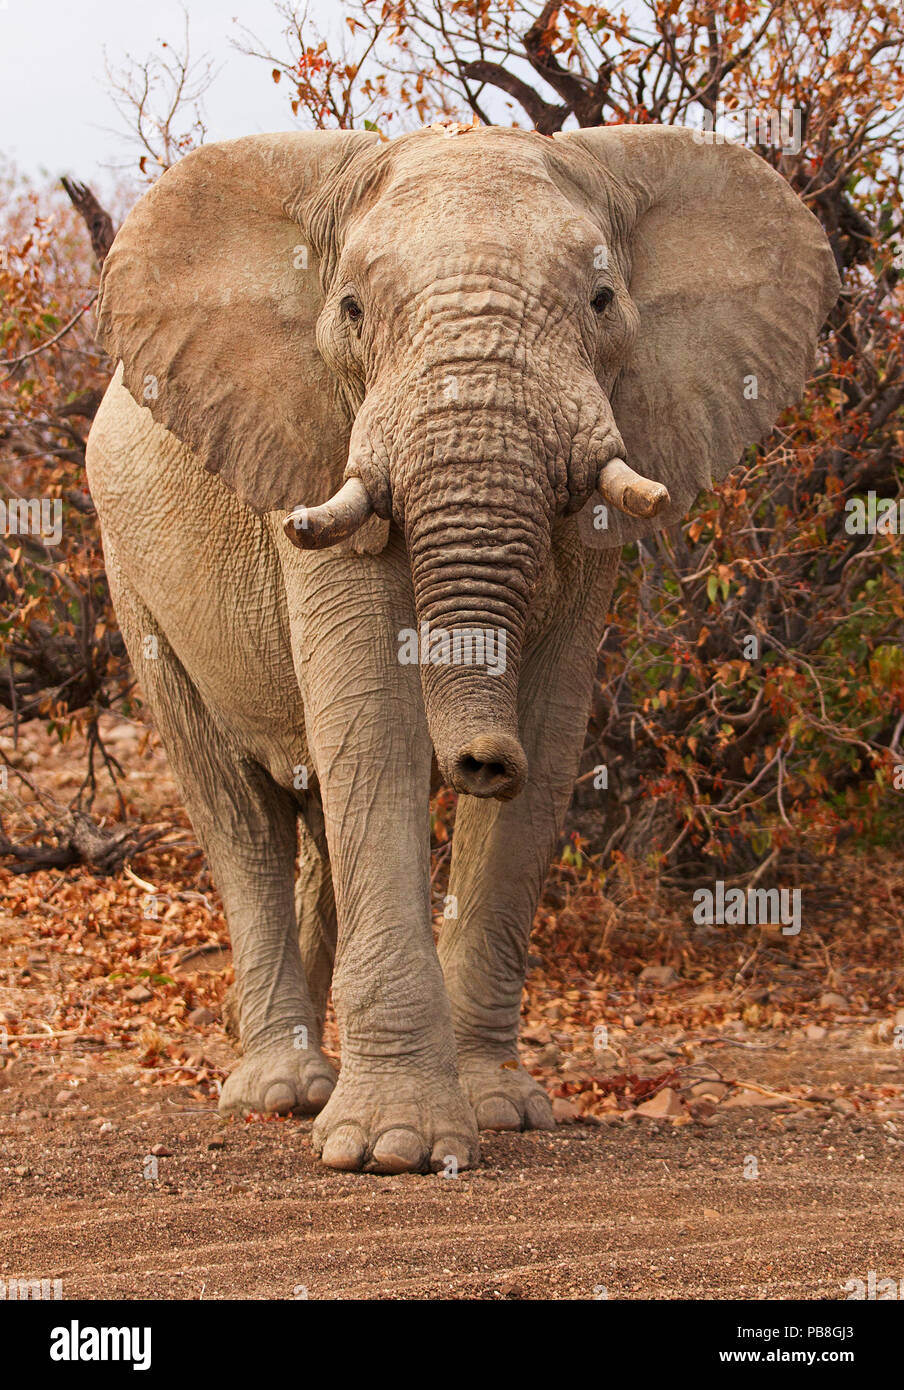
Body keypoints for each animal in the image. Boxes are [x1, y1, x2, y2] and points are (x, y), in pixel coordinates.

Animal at [85, 121, 839, 1174]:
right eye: (352, 311)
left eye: (602, 301)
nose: (480, 759)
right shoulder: (316, 452)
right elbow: (374, 723)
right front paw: (390, 1149)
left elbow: (551, 741)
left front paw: (500, 1113)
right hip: (130, 573)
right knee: (238, 814)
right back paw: (281, 1092)